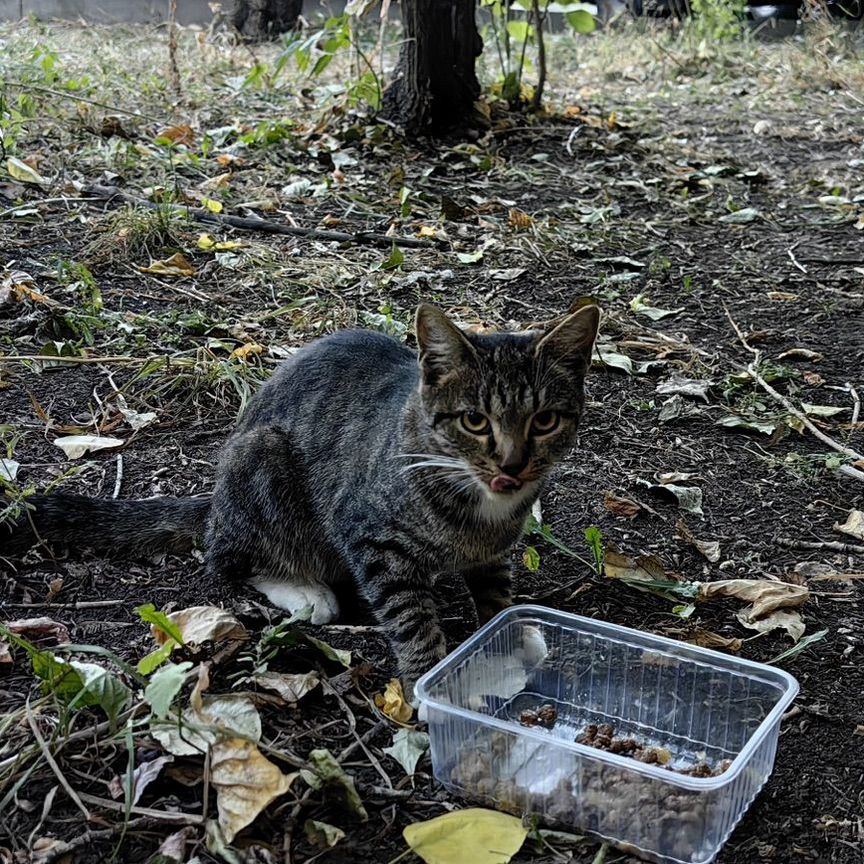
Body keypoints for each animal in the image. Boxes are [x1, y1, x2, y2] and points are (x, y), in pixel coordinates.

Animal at [3, 304, 600, 696]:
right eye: (475, 420)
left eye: (544, 420)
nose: (512, 465)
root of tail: (215, 499)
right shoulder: (370, 535)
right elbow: (409, 617)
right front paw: (427, 677)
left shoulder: (495, 548)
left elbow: (496, 588)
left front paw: (511, 633)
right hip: (261, 465)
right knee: (227, 558)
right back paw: (303, 590)